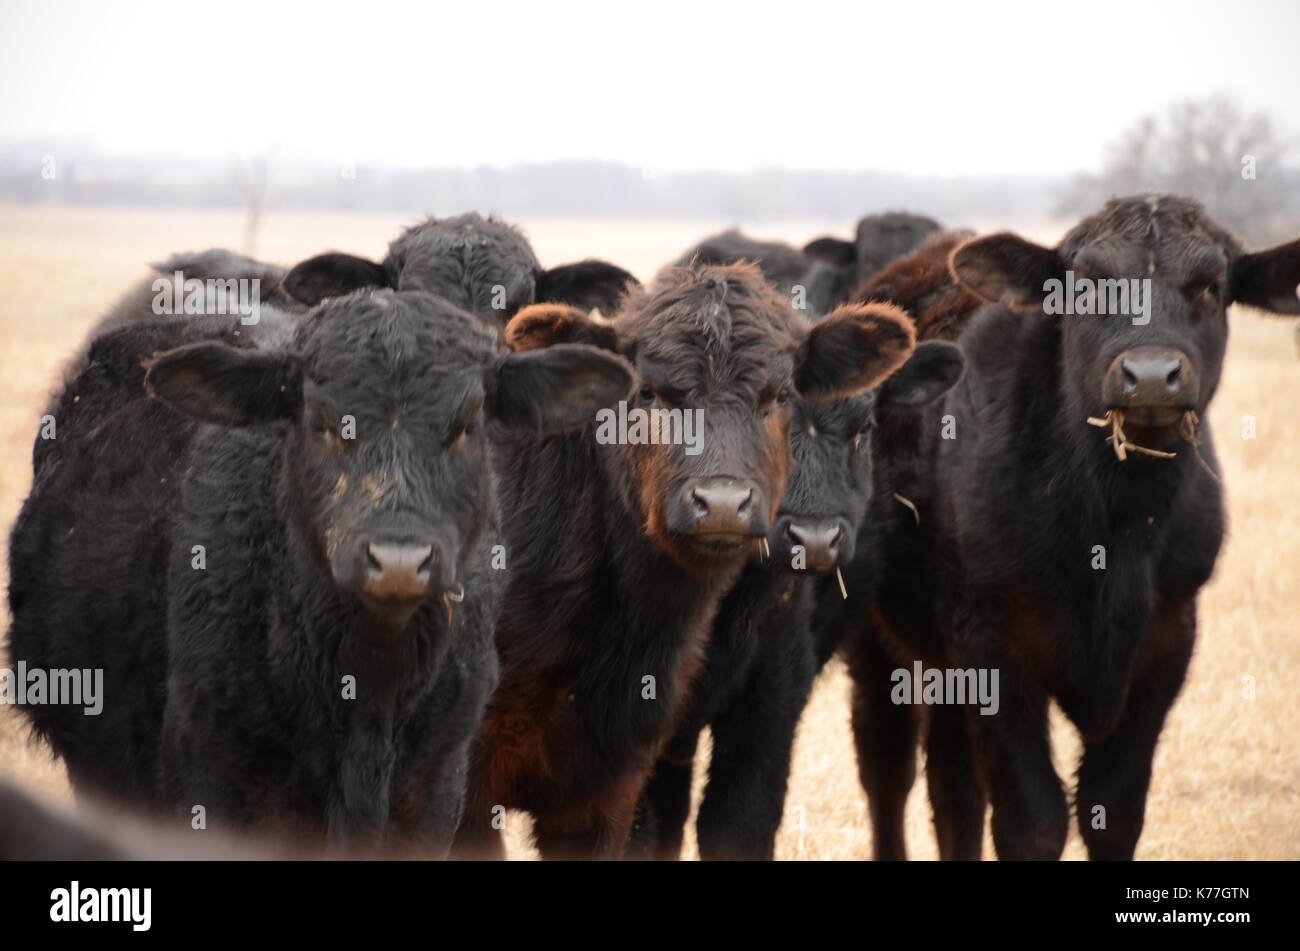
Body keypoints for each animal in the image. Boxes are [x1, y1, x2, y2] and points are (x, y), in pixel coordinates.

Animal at [840, 195, 1300, 860]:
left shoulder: (1168, 640)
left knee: (953, 790)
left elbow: (1114, 811)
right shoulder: (993, 646)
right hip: (877, 637)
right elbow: (1033, 820)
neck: (1116, 522)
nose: (1151, 375)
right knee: (886, 764)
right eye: (1087, 283)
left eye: (1213, 285)